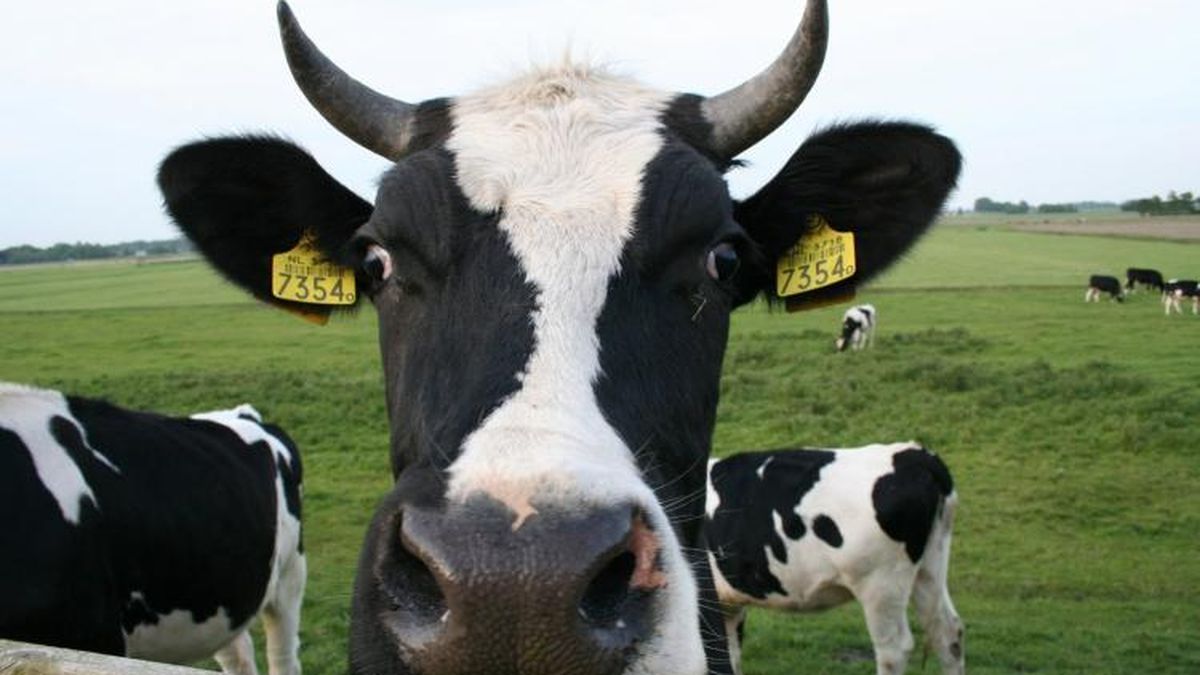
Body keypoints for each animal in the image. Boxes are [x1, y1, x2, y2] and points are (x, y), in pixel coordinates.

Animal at [705, 443, 963, 675]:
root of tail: (915, 455)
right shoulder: (729, 602)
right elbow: (728, 656)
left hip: (881, 583)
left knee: (894, 649)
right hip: (930, 566)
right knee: (947, 634)